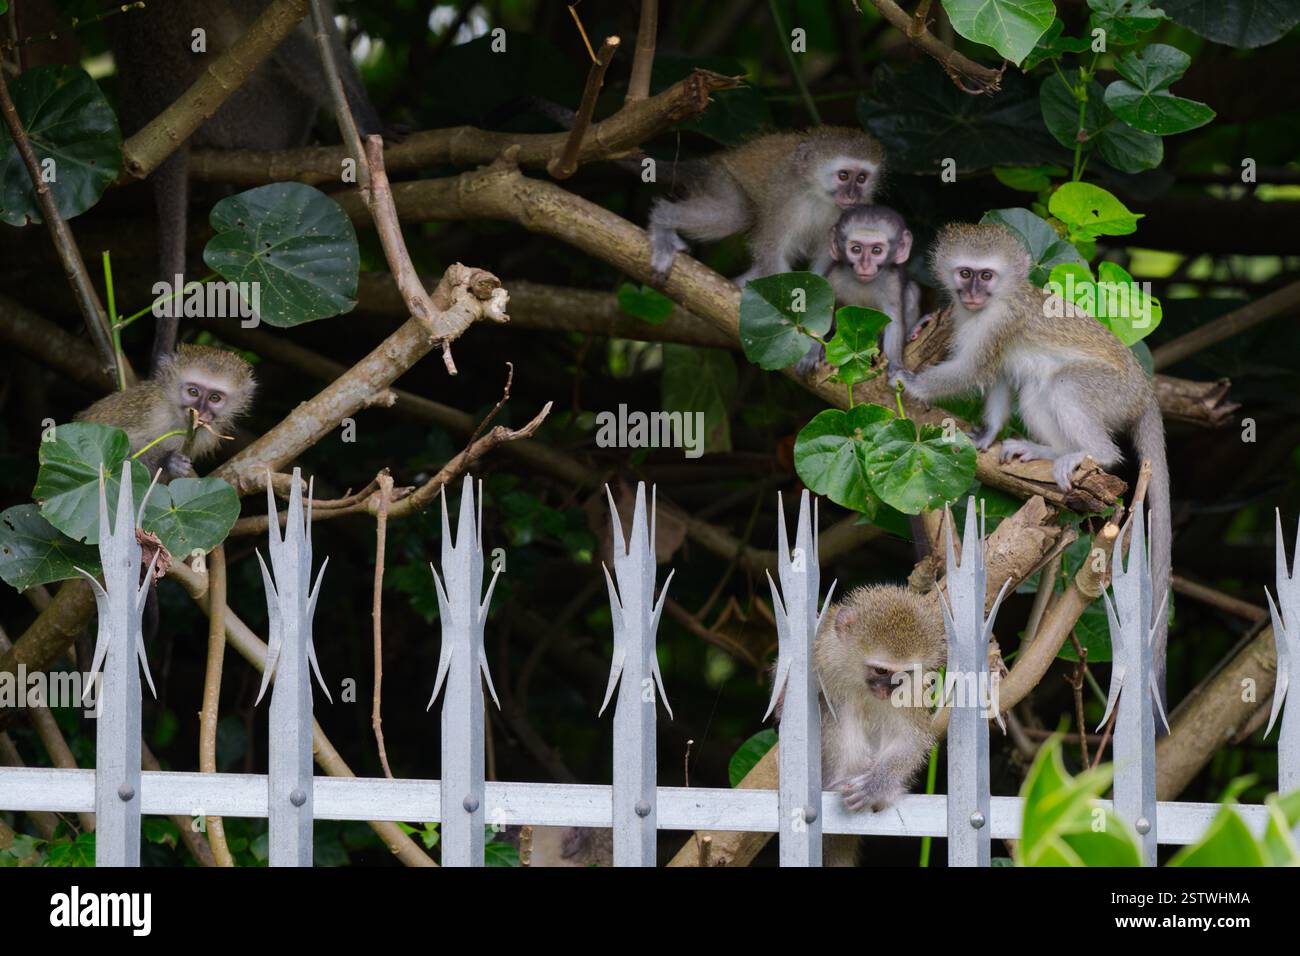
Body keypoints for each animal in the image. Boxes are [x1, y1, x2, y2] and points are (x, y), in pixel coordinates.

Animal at [75, 344, 256, 481]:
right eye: (193, 392)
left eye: (214, 398)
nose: (200, 411)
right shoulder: (153, 412)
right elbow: (122, 450)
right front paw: (168, 461)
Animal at [646, 127, 884, 286]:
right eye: (844, 176)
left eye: (861, 178)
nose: (852, 195)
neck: (820, 197)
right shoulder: (783, 199)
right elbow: (771, 250)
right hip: (722, 178)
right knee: (734, 215)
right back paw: (662, 220)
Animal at [776, 585, 945, 867]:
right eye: (880, 671)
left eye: (904, 675)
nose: (887, 691)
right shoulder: (823, 653)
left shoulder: (914, 690)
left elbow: (911, 739)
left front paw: (876, 785)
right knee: (836, 705)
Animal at [895, 222, 1171, 697]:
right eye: (965, 272)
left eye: (986, 276)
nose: (971, 294)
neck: (991, 305)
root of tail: (1144, 391)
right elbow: (1000, 377)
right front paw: (988, 433)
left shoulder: (998, 325)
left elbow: (972, 371)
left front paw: (907, 381)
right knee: (1035, 388)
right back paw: (1047, 450)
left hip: (1112, 393)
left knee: (1065, 386)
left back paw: (1091, 454)